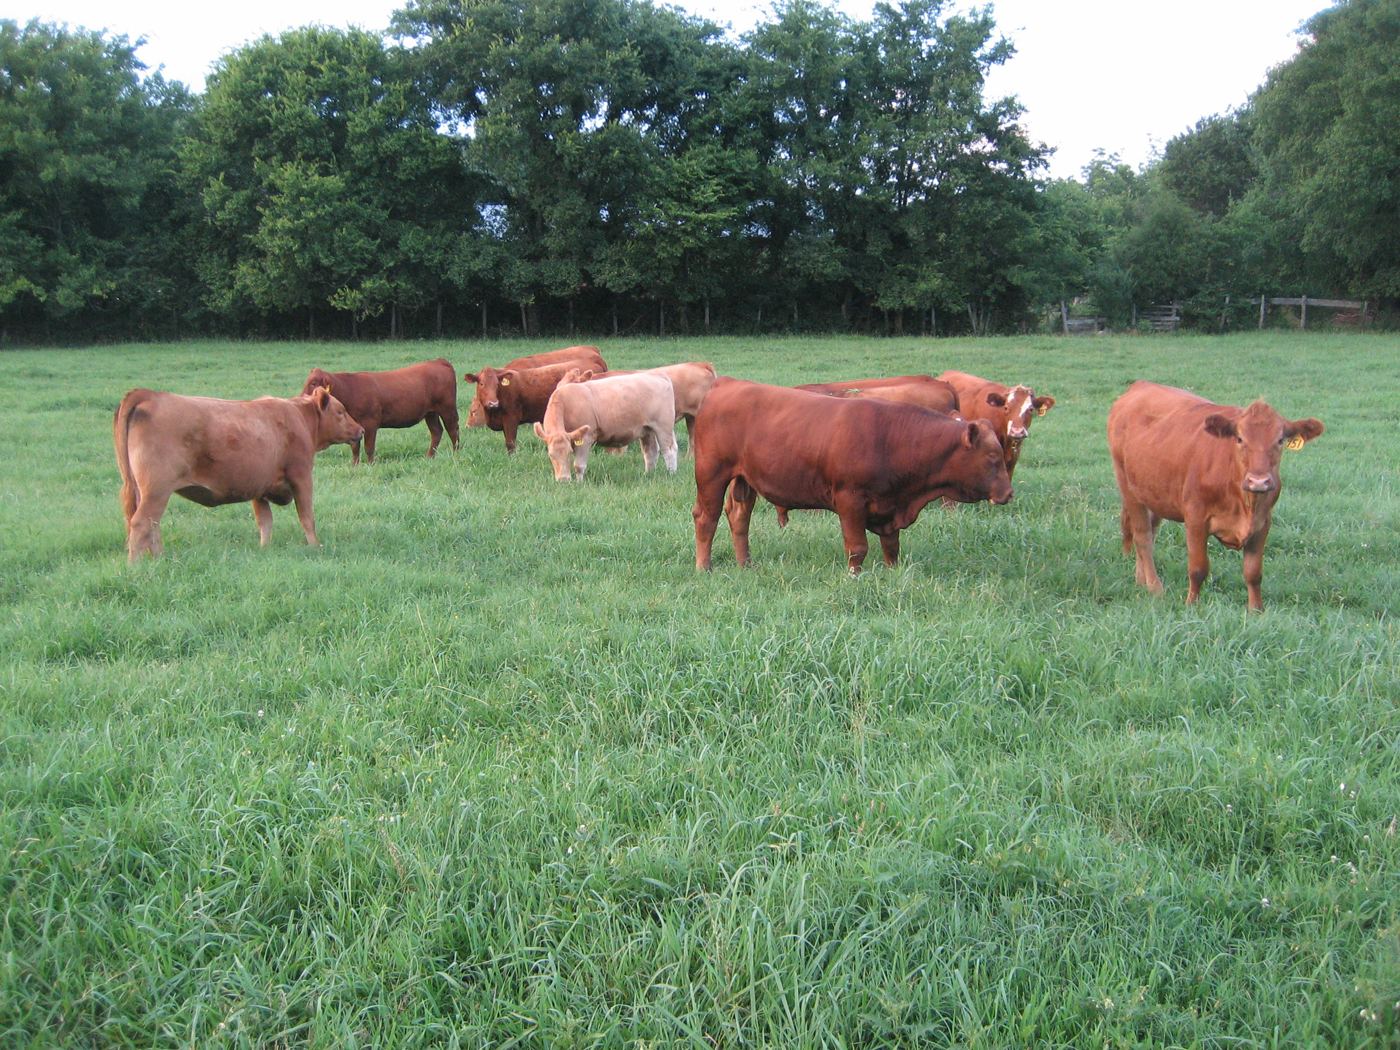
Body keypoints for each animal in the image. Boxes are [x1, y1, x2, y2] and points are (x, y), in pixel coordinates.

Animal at [113, 387, 364, 562]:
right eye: (341, 411)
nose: (361, 430)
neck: (298, 416)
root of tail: (150, 394)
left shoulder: (260, 487)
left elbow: (265, 521)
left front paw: (265, 549)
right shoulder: (301, 477)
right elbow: (307, 517)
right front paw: (315, 546)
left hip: (147, 492)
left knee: (152, 525)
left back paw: (160, 560)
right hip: (156, 490)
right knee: (140, 524)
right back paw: (135, 568)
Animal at [301, 359, 459, 465]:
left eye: (314, 383)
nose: (302, 398)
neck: (351, 389)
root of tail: (438, 361)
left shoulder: (370, 423)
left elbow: (369, 447)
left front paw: (371, 464)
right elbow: (354, 447)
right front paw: (354, 465)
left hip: (447, 408)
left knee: (453, 430)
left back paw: (456, 453)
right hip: (430, 413)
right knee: (436, 431)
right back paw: (429, 457)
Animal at [533, 372, 678, 480]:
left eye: (569, 452)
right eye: (551, 455)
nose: (563, 480)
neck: (566, 402)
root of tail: (657, 374)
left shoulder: (585, 439)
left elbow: (579, 465)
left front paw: (579, 484)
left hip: (663, 427)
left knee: (669, 450)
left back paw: (671, 474)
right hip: (647, 430)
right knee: (650, 452)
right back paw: (648, 475)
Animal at [692, 380, 1013, 574]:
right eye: (992, 457)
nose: (1008, 494)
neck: (893, 438)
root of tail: (728, 383)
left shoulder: (889, 506)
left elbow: (892, 546)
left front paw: (892, 573)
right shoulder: (850, 500)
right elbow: (857, 548)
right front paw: (854, 577)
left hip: (744, 479)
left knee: (739, 517)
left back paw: (745, 564)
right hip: (711, 474)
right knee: (707, 518)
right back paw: (704, 567)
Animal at [1106, 381, 1324, 611]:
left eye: (1280, 440)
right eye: (1240, 438)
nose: (1258, 481)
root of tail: (1141, 385)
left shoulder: (1263, 522)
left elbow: (1254, 572)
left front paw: (1256, 610)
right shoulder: (1195, 518)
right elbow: (1198, 568)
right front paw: (1191, 605)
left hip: (1155, 492)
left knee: (1151, 530)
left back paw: (1141, 579)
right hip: (1126, 483)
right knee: (1143, 536)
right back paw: (1155, 587)